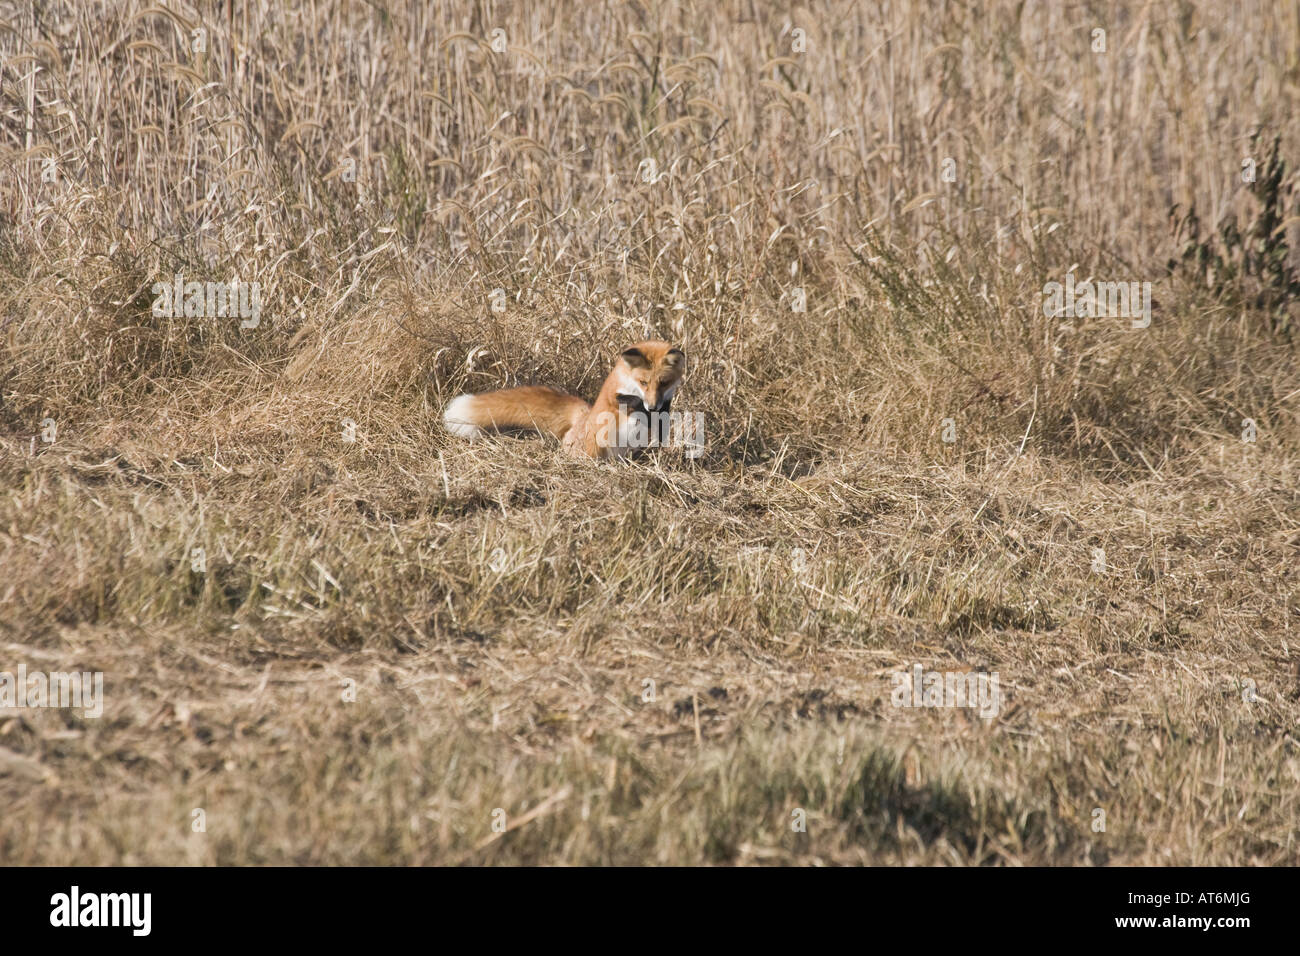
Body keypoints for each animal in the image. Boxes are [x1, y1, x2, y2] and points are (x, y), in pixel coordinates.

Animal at [443, 341, 685, 459]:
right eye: (643, 382)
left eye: (664, 383)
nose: (652, 406)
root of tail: (580, 417)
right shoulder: (613, 397)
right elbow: (627, 401)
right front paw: (642, 408)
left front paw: (657, 415)